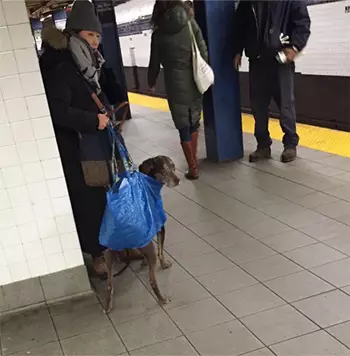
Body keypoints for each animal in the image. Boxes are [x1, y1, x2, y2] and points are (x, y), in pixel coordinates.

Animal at [102, 154, 179, 312]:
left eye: (173, 166)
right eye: (164, 170)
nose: (178, 180)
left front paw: (143, 261)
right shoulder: (160, 228)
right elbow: (161, 251)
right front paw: (164, 263)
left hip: (108, 255)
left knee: (109, 285)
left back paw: (107, 306)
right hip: (149, 250)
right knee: (152, 280)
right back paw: (162, 299)